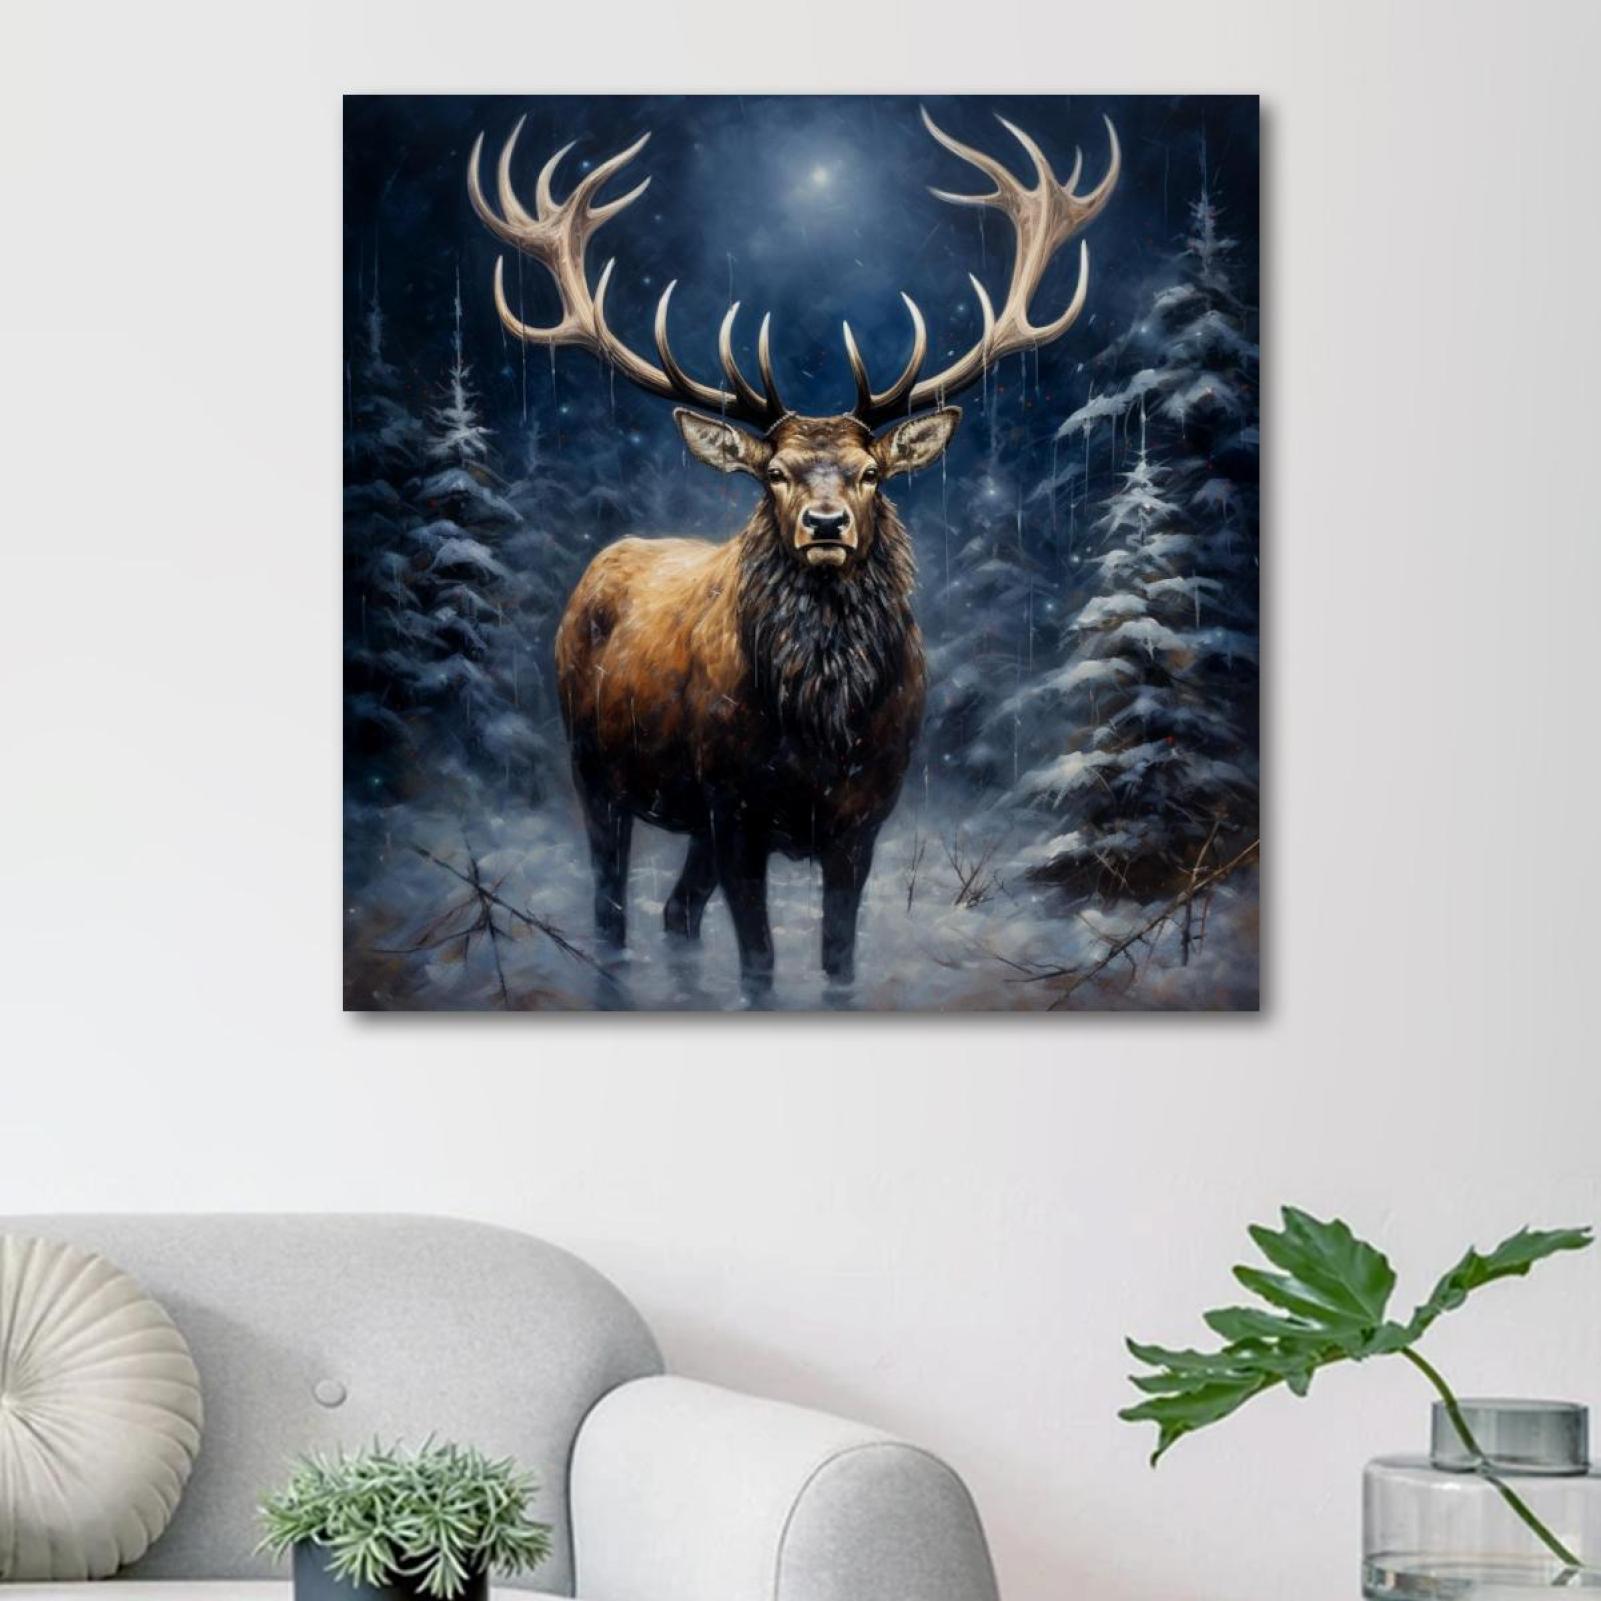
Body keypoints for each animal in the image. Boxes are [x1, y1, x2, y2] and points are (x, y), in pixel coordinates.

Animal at [467, 107, 1117, 998]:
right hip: (592, 764)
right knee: (611, 905)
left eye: (871, 472)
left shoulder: (861, 819)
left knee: (676, 910)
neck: (820, 734)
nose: (824, 523)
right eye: (773, 471)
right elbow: (760, 965)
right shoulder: (734, 807)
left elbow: (838, 959)